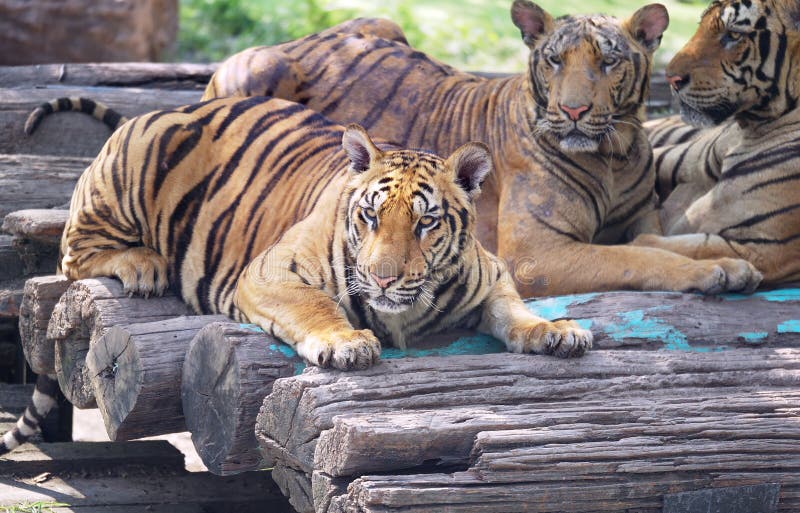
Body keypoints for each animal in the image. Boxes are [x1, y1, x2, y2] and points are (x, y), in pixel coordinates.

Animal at [199, 1, 762, 297]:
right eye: (554, 61)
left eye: (608, 62)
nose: (575, 110)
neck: (613, 156)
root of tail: (300, 41)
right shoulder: (537, 254)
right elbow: (634, 259)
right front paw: (711, 272)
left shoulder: (641, 221)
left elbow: (661, 243)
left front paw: (735, 264)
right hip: (260, 69)